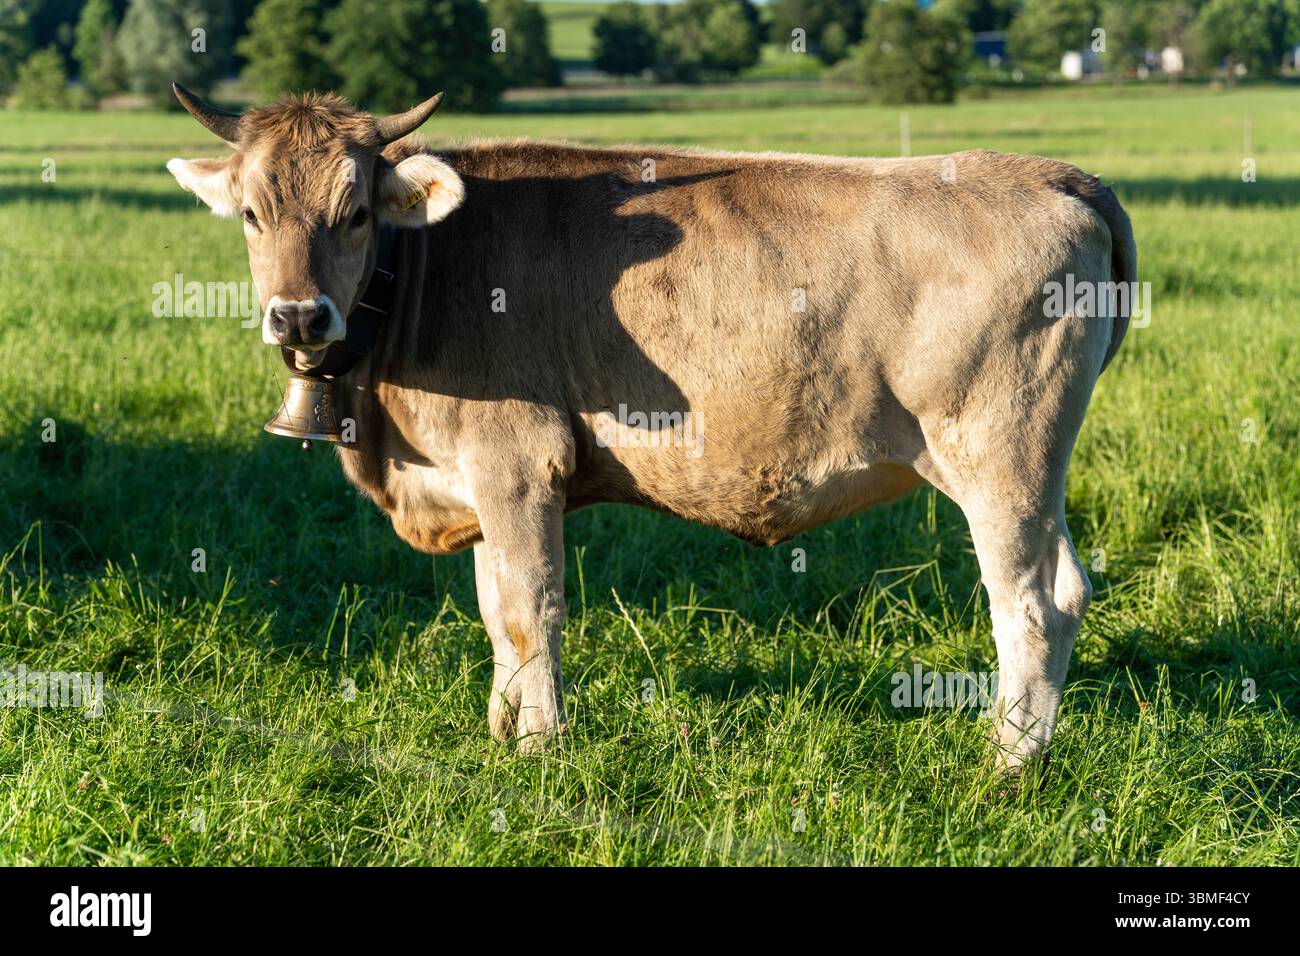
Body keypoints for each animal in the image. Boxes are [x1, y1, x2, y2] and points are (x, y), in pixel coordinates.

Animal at [166, 83, 1135, 773]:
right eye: (252, 213)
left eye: (357, 211)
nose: (299, 317)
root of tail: (1051, 173)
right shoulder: (475, 478)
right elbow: (492, 609)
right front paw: (499, 731)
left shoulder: (518, 462)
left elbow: (530, 609)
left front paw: (540, 748)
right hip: (1031, 469)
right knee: (1066, 589)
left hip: (1000, 456)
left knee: (1031, 604)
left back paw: (1006, 766)